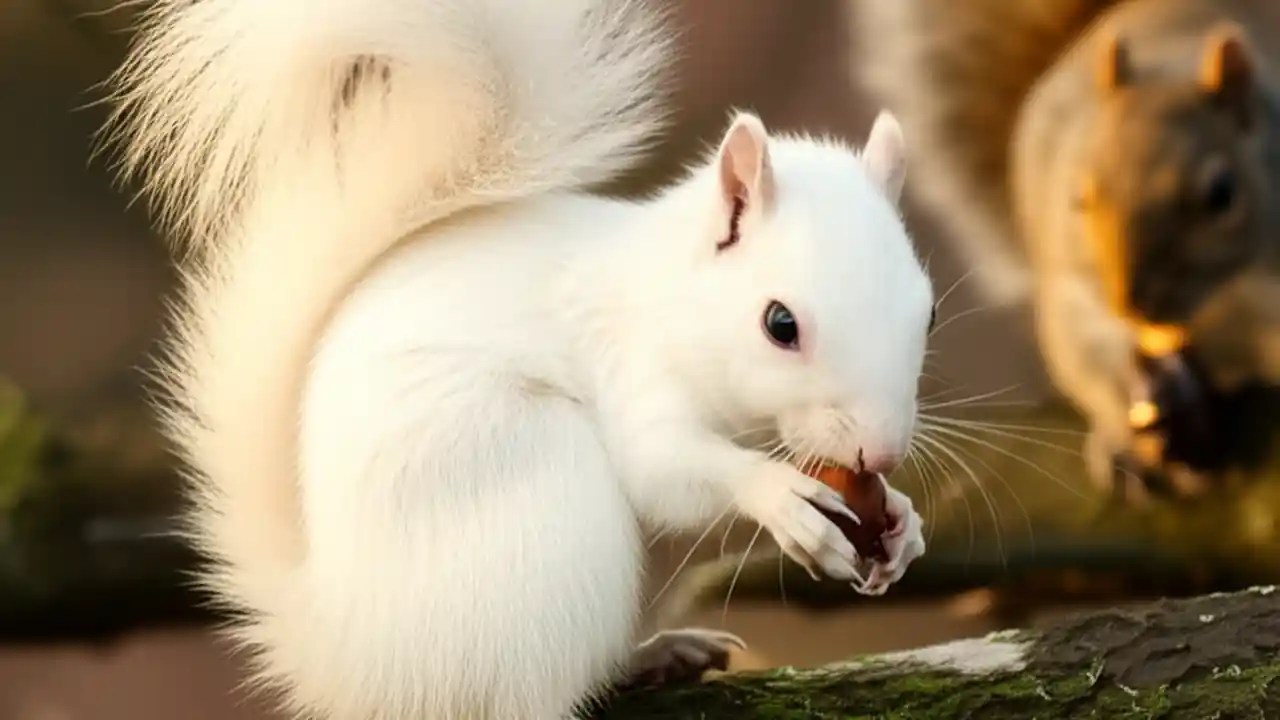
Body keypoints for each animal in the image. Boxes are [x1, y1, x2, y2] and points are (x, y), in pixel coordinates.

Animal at [105, 0, 933, 716]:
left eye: (925, 311)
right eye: (779, 324)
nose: (882, 449)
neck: (674, 299)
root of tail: (353, 656)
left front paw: (900, 521)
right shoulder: (630, 363)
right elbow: (663, 467)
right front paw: (778, 496)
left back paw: (657, 655)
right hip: (543, 509)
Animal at [849, 0, 1280, 496]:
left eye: (1223, 195)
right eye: (1078, 197)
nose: (1130, 304)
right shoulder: (1081, 299)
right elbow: (1097, 361)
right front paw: (1137, 412)